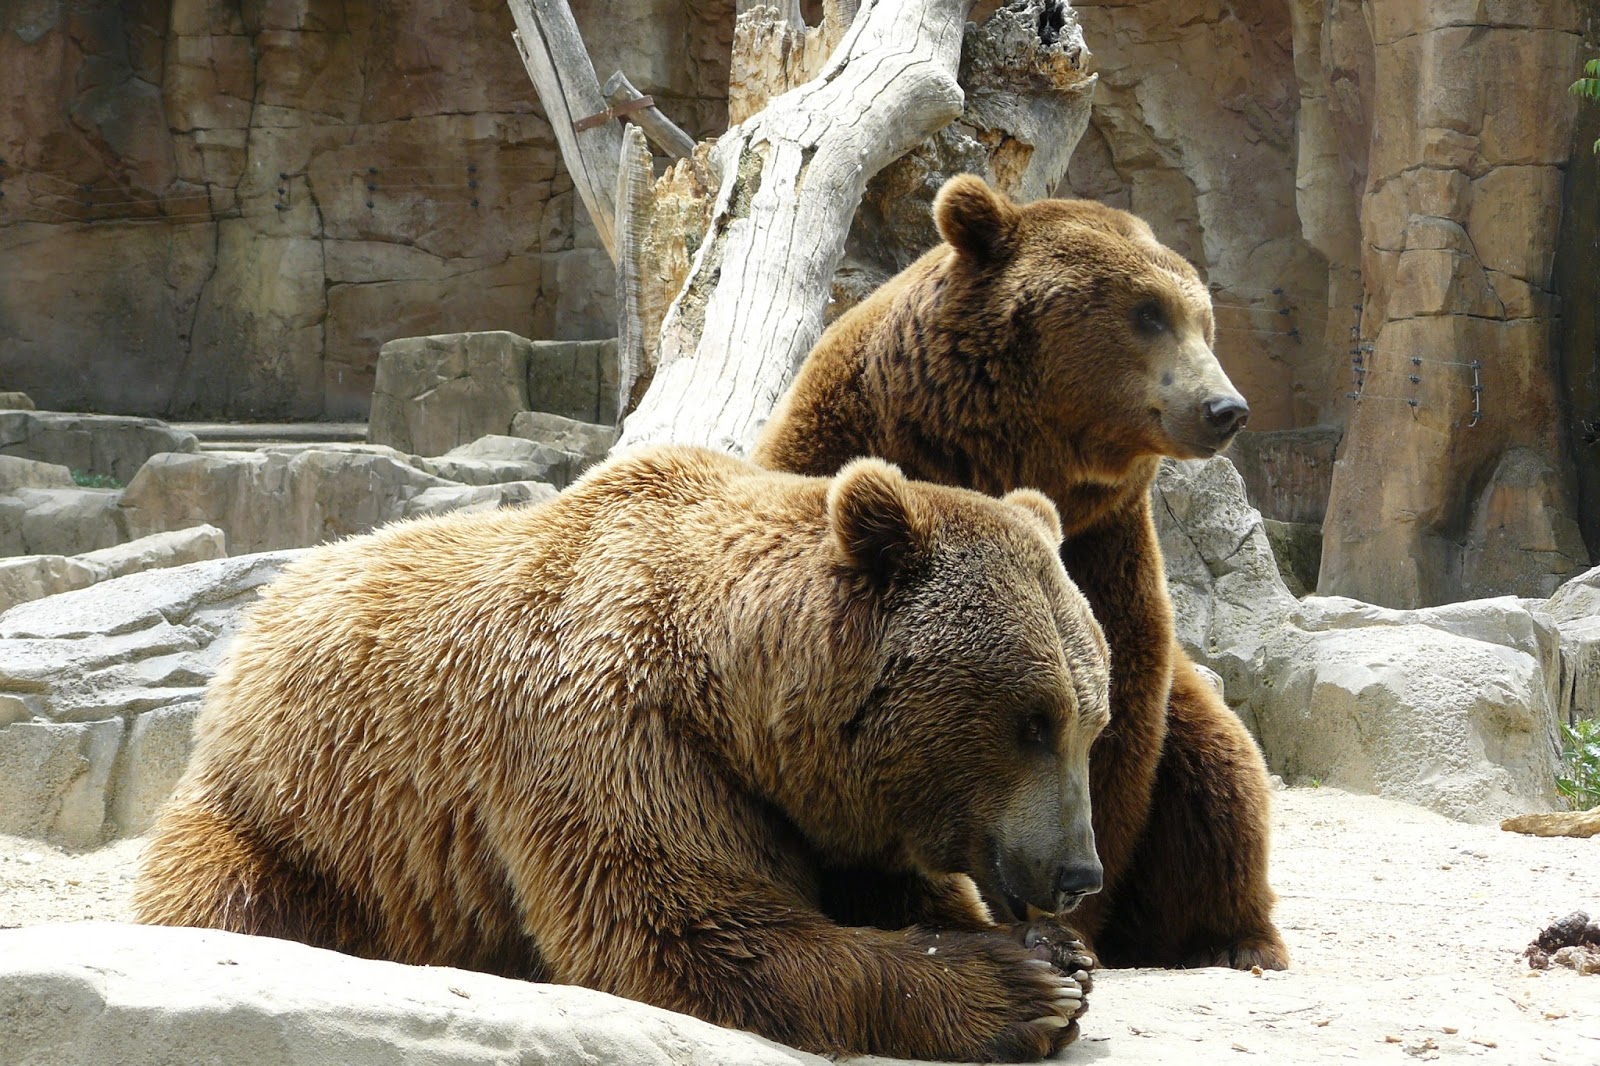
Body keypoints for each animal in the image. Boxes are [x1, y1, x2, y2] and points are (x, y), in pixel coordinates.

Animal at [133, 444, 1112, 1062]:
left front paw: (1056, 952)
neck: (735, 694)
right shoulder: (616, 732)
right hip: (300, 825)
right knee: (225, 899)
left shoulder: (822, 805)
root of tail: (259, 617)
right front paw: (1021, 989)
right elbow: (684, 927)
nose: (1079, 871)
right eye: (1030, 719)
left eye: (1091, 720)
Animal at [752, 174, 1290, 971]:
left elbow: (1114, 734)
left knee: (1221, 779)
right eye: (1148, 312)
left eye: (1204, 321)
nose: (1225, 407)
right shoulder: (838, 452)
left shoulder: (1102, 550)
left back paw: (1240, 941)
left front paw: (1066, 922)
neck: (995, 454)